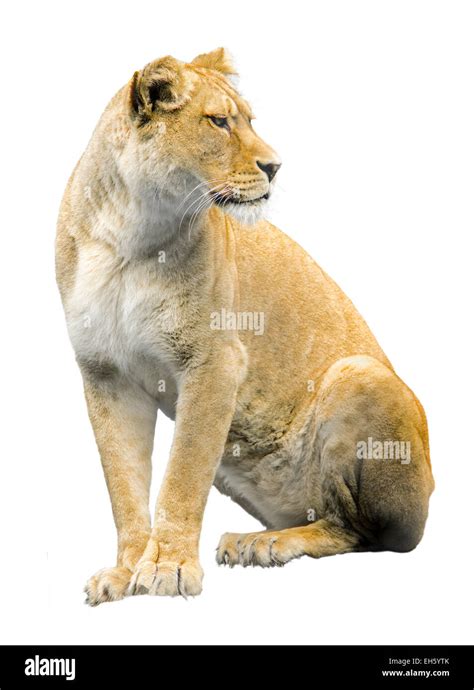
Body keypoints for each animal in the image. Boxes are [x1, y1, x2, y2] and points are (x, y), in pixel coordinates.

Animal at [56, 48, 434, 605]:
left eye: (250, 121)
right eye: (218, 122)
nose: (275, 166)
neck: (130, 233)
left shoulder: (215, 361)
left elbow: (183, 474)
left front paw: (167, 568)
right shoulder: (105, 374)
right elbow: (123, 483)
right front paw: (126, 572)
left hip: (359, 375)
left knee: (367, 533)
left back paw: (267, 544)